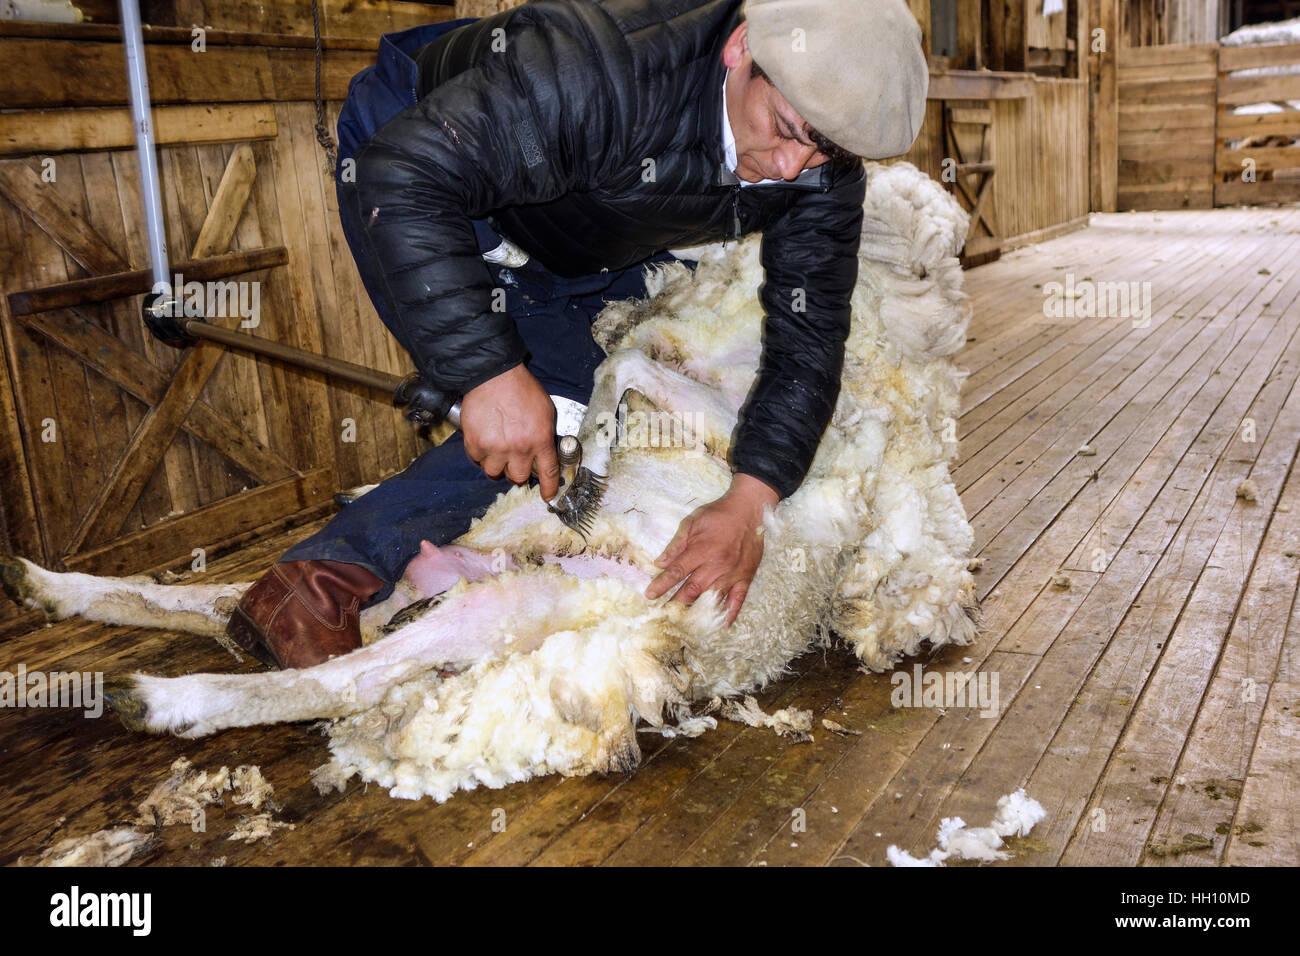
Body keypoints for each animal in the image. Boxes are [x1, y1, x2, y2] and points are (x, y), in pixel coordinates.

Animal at [1, 161, 979, 803]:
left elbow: (628, 363)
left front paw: (592, 455)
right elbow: (624, 362)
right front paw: (590, 456)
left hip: (511, 605)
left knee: (334, 675)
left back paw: (156, 695)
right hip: (468, 569)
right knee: (226, 605)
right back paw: (52, 592)